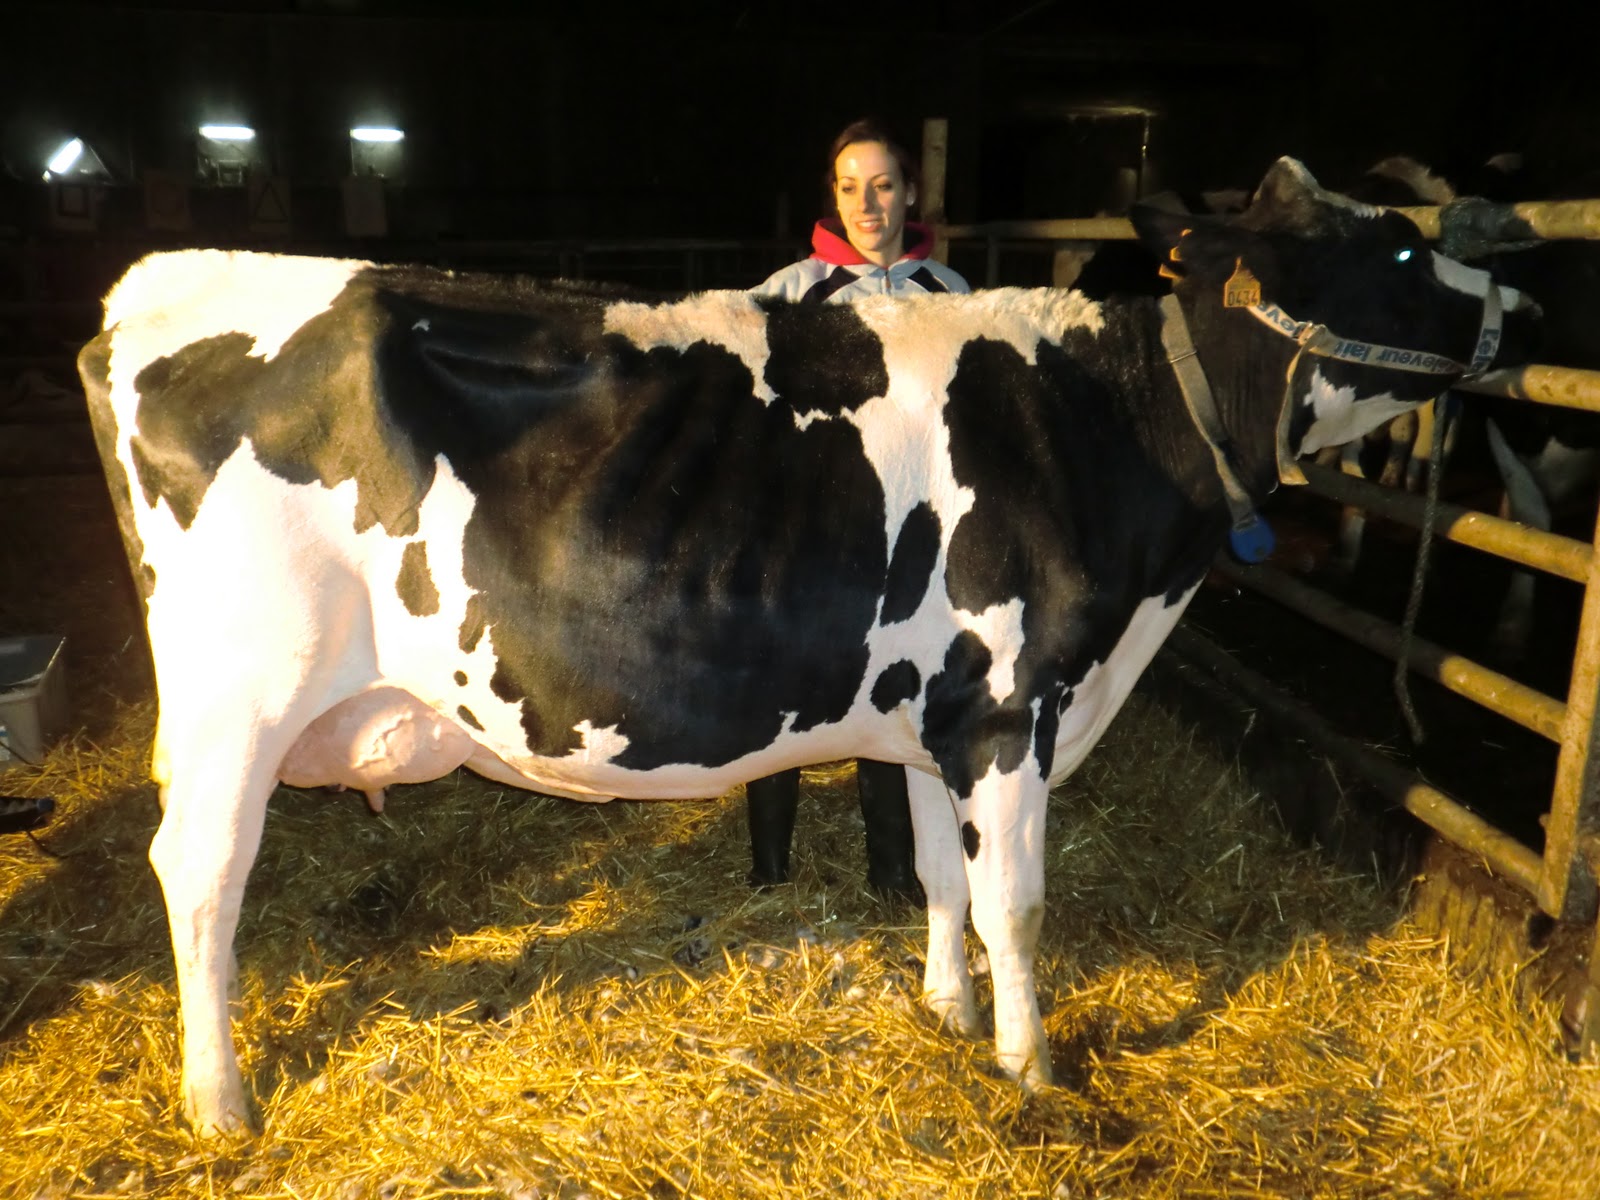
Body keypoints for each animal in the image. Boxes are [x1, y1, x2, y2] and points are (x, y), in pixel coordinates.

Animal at [77, 157, 1536, 1135]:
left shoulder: (935, 718)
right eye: (1398, 252)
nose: (1520, 304)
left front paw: (948, 1015)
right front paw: (1031, 1069)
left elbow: (944, 881)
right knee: (198, 873)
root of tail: (162, 282)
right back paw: (219, 1100)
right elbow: (1016, 903)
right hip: (239, 695)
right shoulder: (1012, 707)